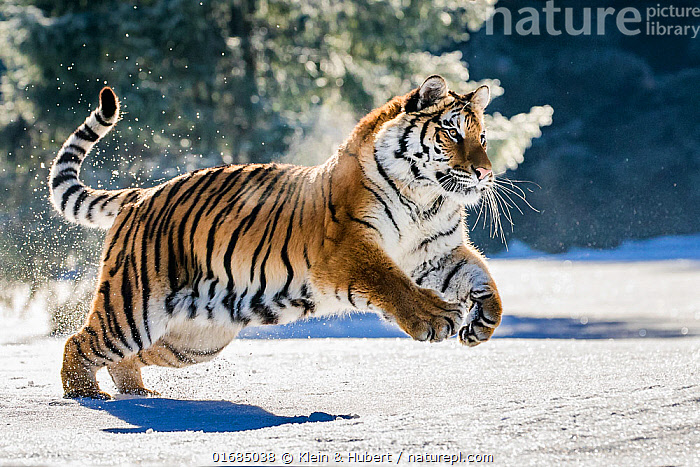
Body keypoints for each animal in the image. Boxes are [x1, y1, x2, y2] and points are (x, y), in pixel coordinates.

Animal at [49, 75, 503, 399]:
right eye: (452, 133)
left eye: (481, 138)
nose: (485, 173)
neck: (426, 198)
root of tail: (141, 193)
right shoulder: (350, 249)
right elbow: (392, 282)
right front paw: (438, 317)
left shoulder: (434, 252)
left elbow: (482, 279)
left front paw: (481, 323)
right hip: (132, 307)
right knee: (79, 342)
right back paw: (88, 395)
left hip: (193, 339)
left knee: (130, 356)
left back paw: (140, 393)